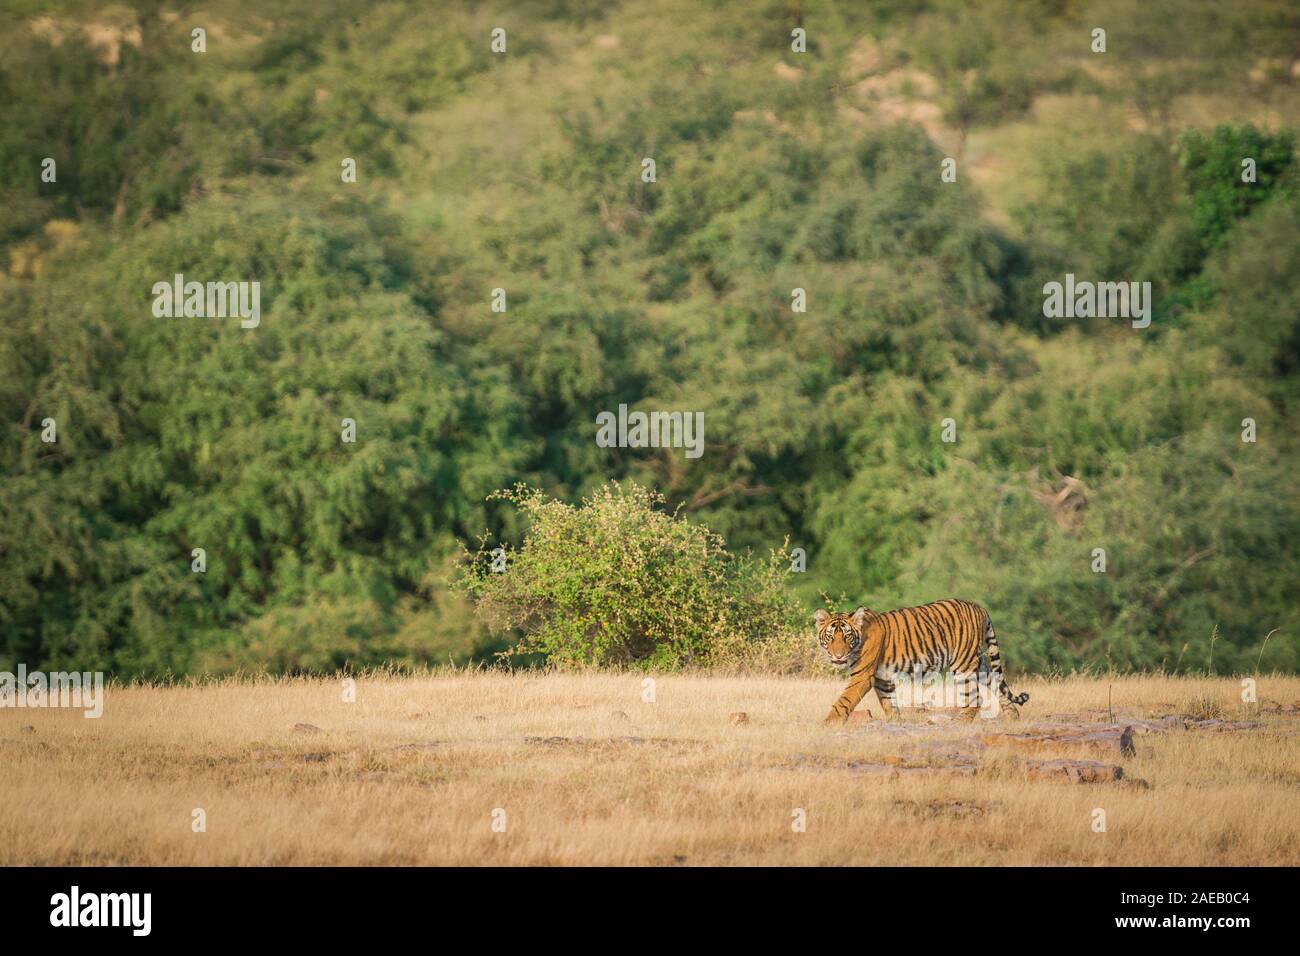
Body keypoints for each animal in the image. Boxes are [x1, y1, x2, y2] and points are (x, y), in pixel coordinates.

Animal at [815, 599, 1029, 724]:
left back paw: (961, 721)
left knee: (974, 697)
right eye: (831, 637)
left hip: (963, 662)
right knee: (995, 681)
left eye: (847, 637)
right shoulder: (882, 678)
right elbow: (888, 701)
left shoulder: (862, 675)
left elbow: (844, 700)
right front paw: (895, 721)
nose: (838, 656)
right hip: (978, 662)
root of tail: (980, 608)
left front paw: (829, 723)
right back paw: (1013, 716)